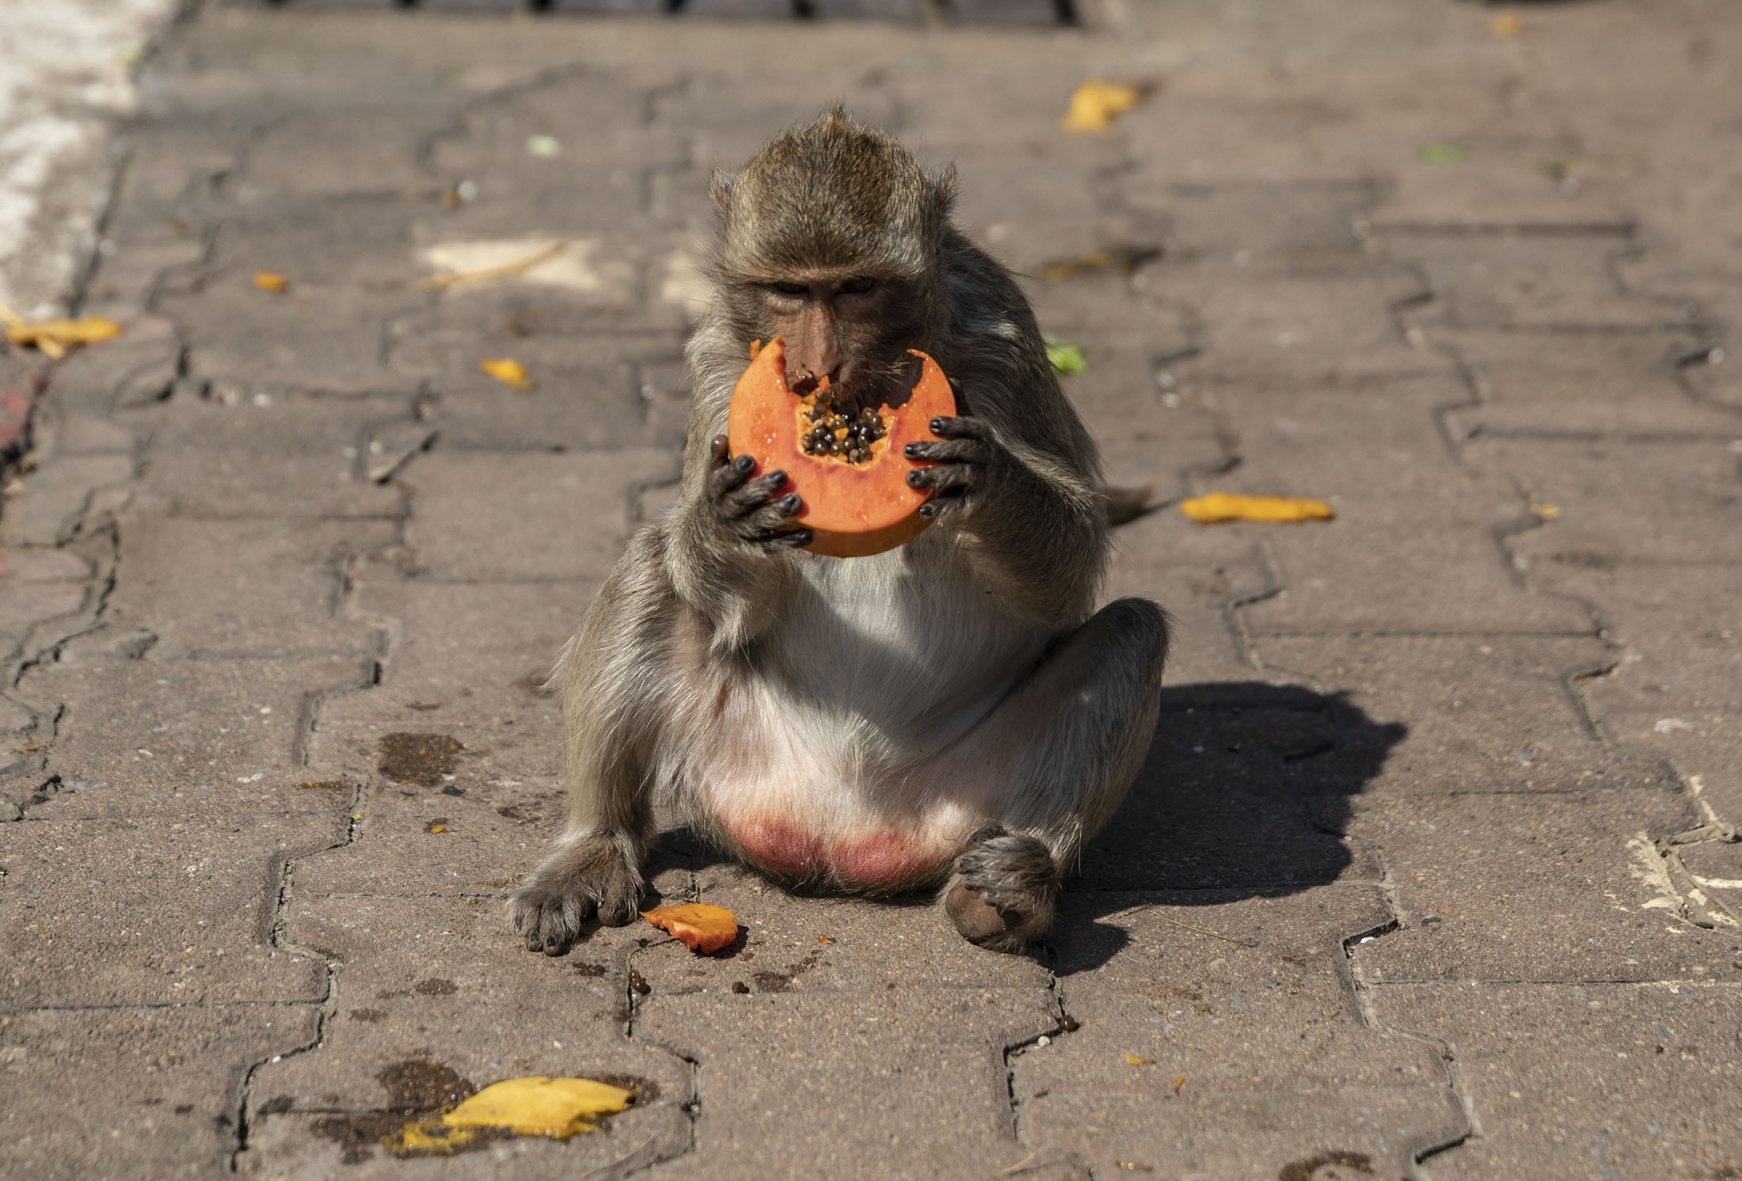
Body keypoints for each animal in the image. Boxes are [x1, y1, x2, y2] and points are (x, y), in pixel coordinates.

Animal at [509, 109, 1168, 955]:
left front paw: (983, 475)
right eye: (791, 290)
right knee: (649, 563)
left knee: (1131, 629)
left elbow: (1075, 562)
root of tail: (843, 835)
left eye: (856, 288)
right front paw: (723, 519)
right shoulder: (717, 358)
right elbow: (715, 578)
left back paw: (1018, 880)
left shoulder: (1004, 334)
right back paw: (593, 843)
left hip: (963, 798)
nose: (819, 362)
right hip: (734, 762)